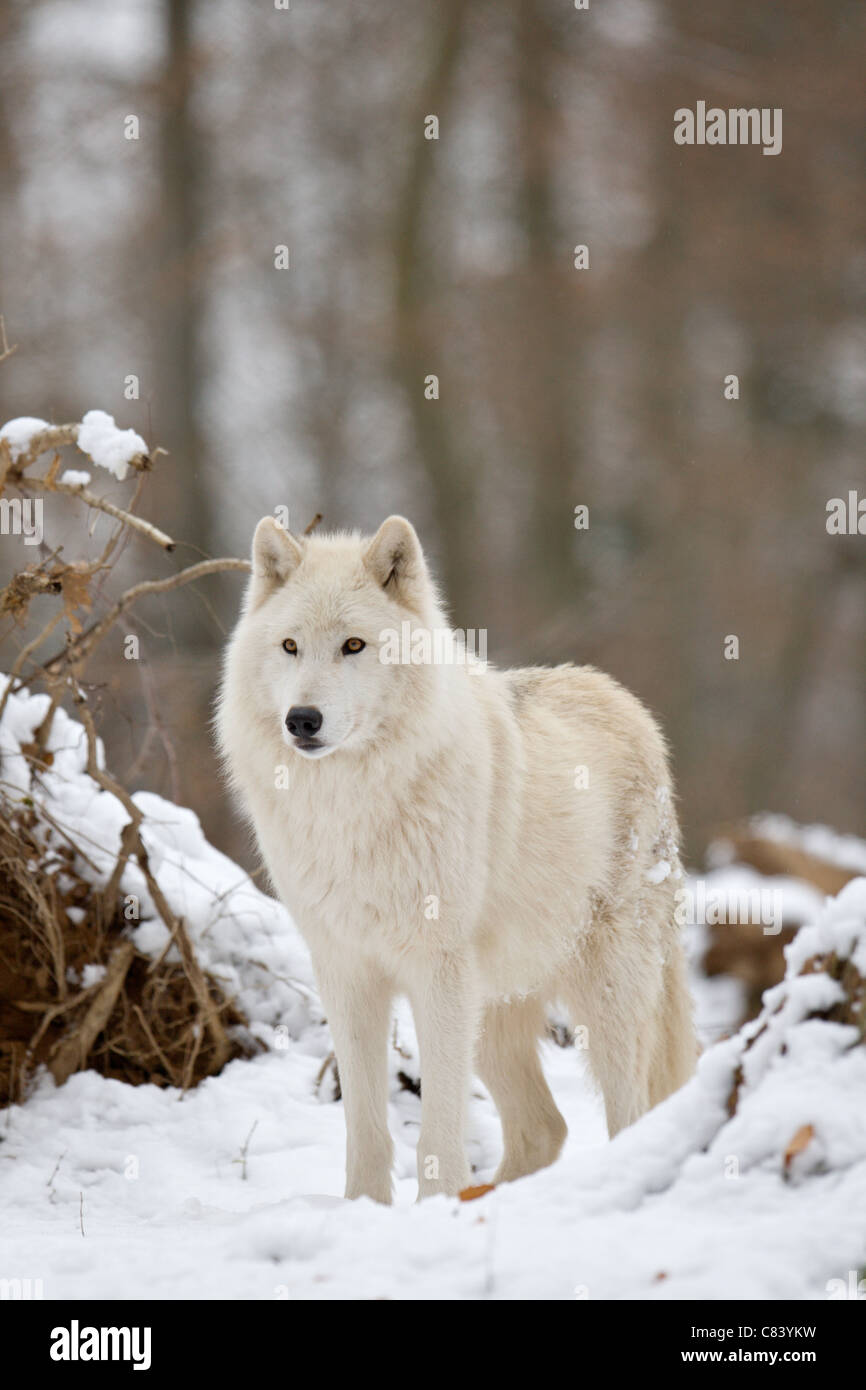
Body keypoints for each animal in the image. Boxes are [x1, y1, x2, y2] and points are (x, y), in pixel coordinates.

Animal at [216, 515, 697, 1203]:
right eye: (289, 647)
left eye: (353, 646)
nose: (301, 720)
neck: (351, 808)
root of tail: (624, 702)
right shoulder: (346, 972)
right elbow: (365, 1130)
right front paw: (365, 1209)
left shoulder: (435, 971)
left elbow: (437, 1135)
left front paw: (433, 1206)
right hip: (492, 1012)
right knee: (544, 1128)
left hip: (602, 998)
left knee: (628, 1114)